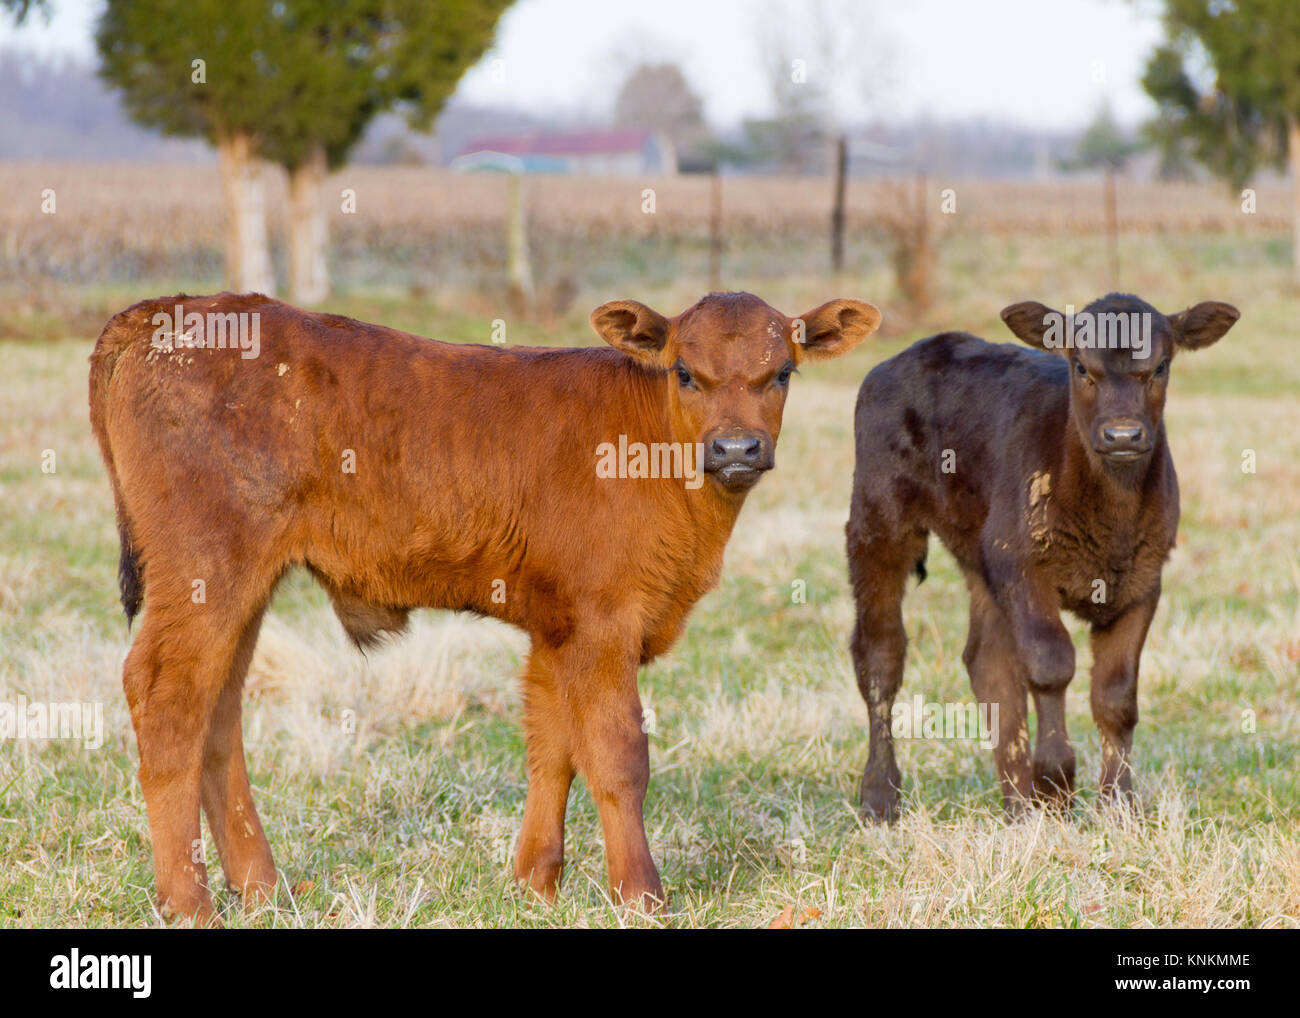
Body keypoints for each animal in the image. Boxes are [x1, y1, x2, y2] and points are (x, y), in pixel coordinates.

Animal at [89, 289, 880, 925]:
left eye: (783, 372)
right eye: (685, 371)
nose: (737, 448)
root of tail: (164, 309)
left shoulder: (558, 626)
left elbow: (554, 748)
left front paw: (535, 883)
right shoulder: (601, 624)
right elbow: (617, 755)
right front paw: (640, 894)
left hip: (241, 585)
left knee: (217, 711)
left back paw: (262, 889)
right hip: (207, 571)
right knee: (167, 699)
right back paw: (188, 902)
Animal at [845, 293, 1238, 820]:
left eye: (1161, 366)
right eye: (1080, 366)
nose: (1122, 436)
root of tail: (914, 351)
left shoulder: (1143, 580)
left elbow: (1116, 695)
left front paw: (1119, 803)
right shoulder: (1023, 566)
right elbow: (1051, 665)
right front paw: (1057, 782)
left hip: (982, 551)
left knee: (989, 663)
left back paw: (1017, 805)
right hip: (878, 521)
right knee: (880, 654)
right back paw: (881, 796)